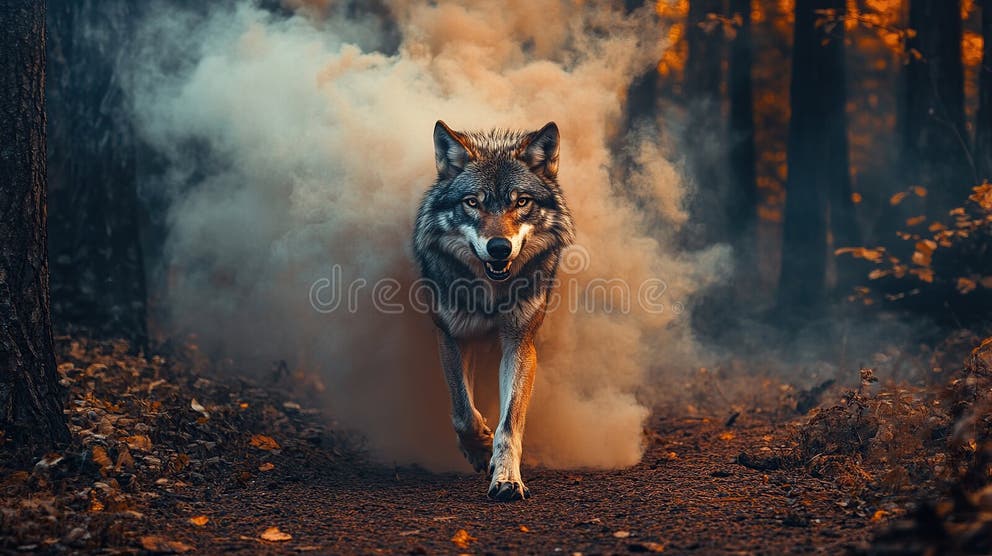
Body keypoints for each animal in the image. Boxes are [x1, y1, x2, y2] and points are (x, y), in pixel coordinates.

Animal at [413, 120, 575, 501]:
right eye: (473, 202)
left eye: (522, 202)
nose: (499, 248)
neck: (491, 293)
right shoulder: (452, 336)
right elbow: (463, 413)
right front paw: (479, 448)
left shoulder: (520, 342)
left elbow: (510, 422)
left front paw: (506, 478)